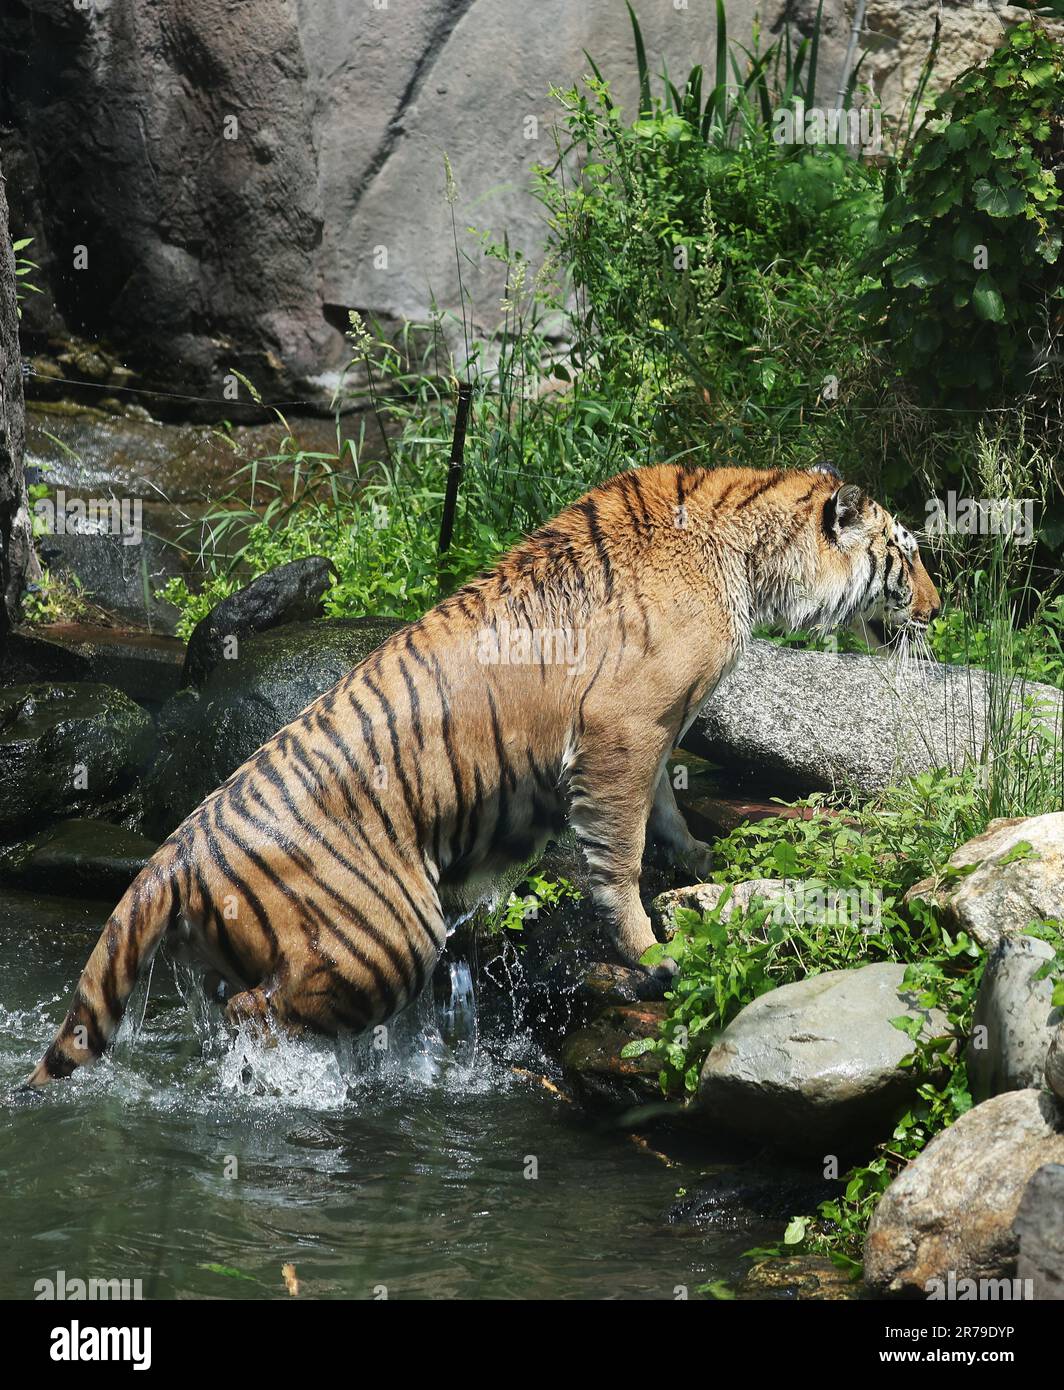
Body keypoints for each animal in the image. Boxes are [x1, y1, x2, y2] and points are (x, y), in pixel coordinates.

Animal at [24, 462, 940, 1087]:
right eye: (906, 554)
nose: (938, 609)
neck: (752, 560)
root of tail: (176, 847)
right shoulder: (623, 727)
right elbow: (620, 853)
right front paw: (655, 954)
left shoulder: (656, 733)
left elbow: (666, 814)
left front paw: (703, 861)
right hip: (383, 934)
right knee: (260, 1015)